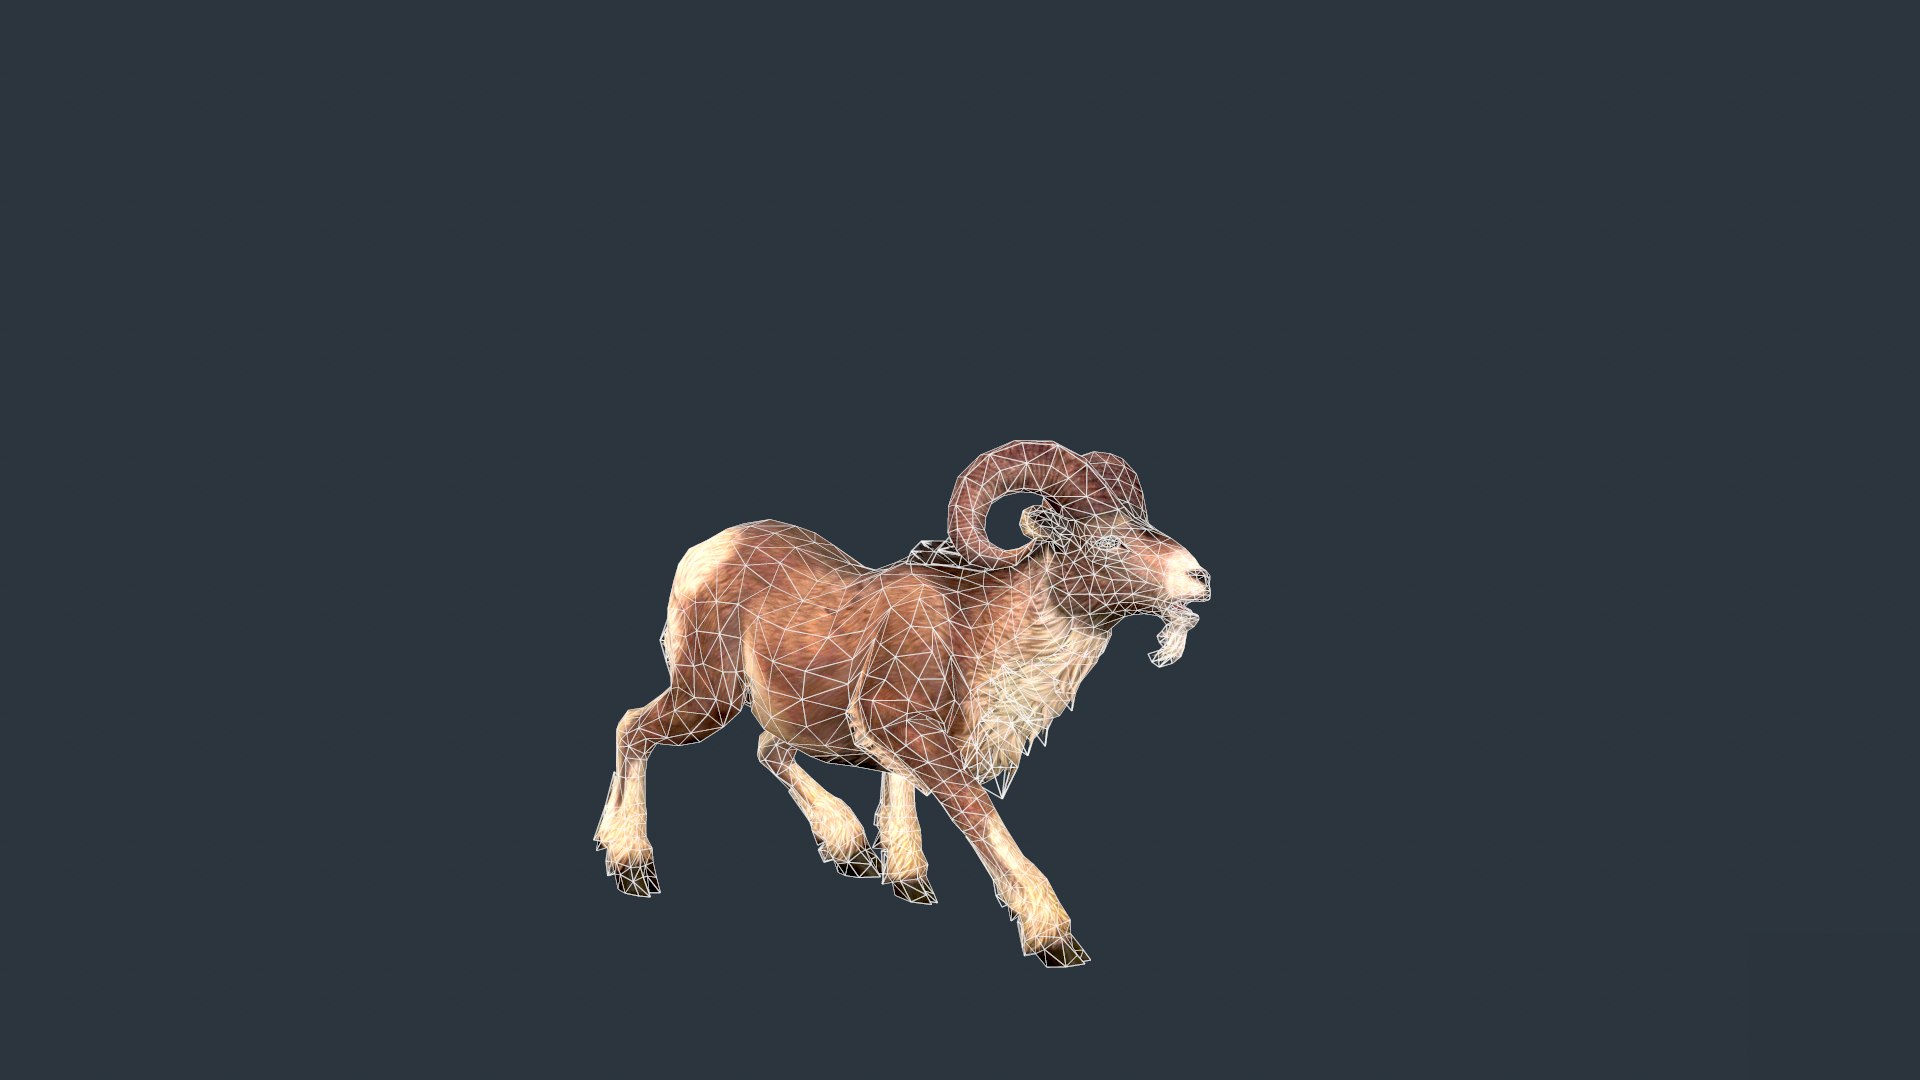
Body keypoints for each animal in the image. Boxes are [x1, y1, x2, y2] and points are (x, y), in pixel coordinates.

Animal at [593, 440, 1212, 967]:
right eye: (1109, 541)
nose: (1200, 579)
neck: (986, 636)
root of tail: (706, 553)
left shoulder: (905, 744)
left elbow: (899, 795)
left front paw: (908, 881)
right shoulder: (915, 734)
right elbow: (979, 816)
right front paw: (1054, 938)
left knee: (767, 750)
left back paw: (850, 852)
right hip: (706, 698)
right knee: (633, 729)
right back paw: (631, 867)